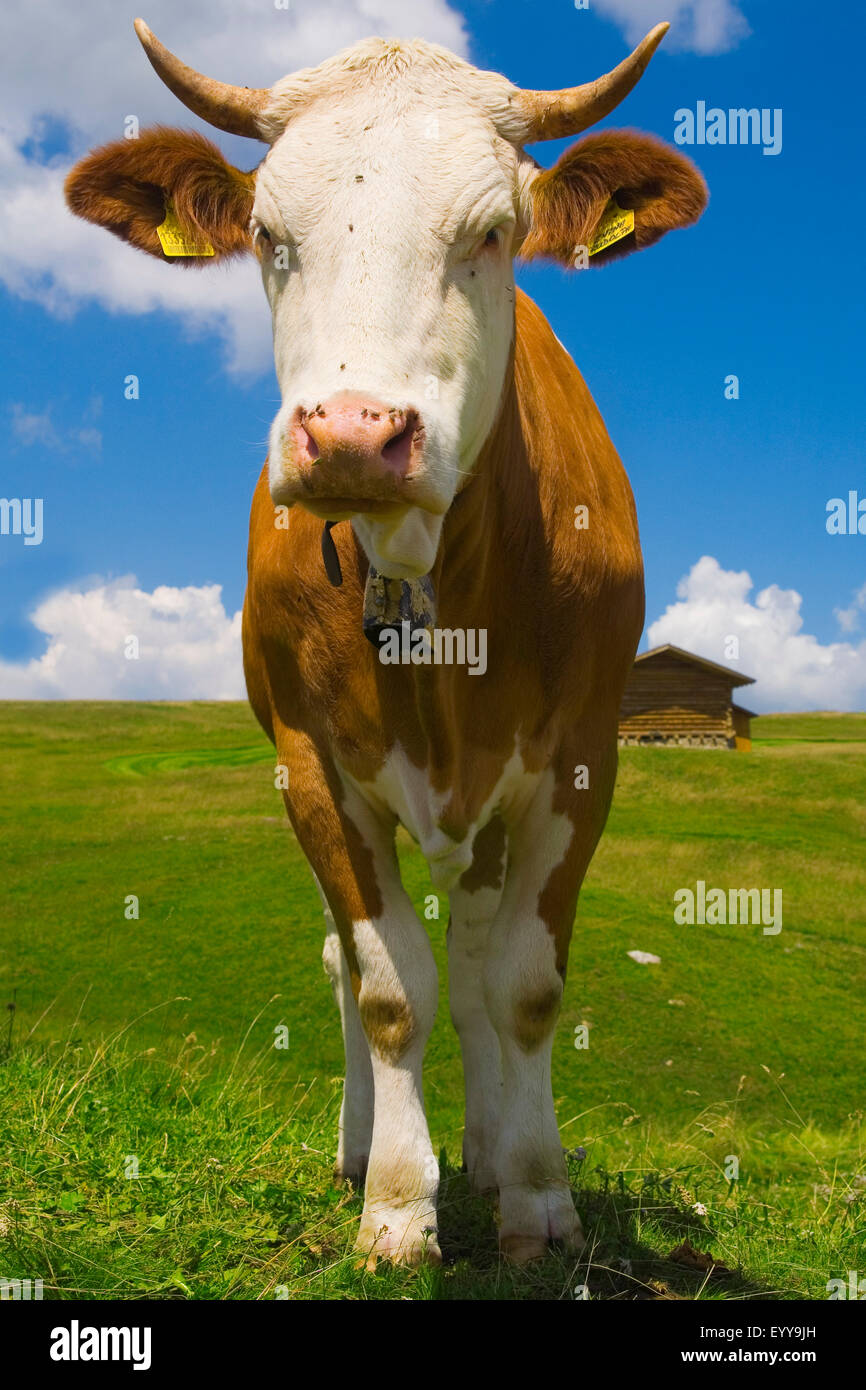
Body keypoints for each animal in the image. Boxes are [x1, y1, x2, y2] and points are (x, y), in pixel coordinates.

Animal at [66, 17, 707, 1268]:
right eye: (267, 236)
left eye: (494, 231)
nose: (353, 432)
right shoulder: (310, 763)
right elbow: (383, 987)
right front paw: (399, 1203)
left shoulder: (580, 758)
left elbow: (519, 987)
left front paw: (533, 1192)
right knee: (362, 964)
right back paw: (370, 1145)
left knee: (475, 965)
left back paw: (491, 1149)